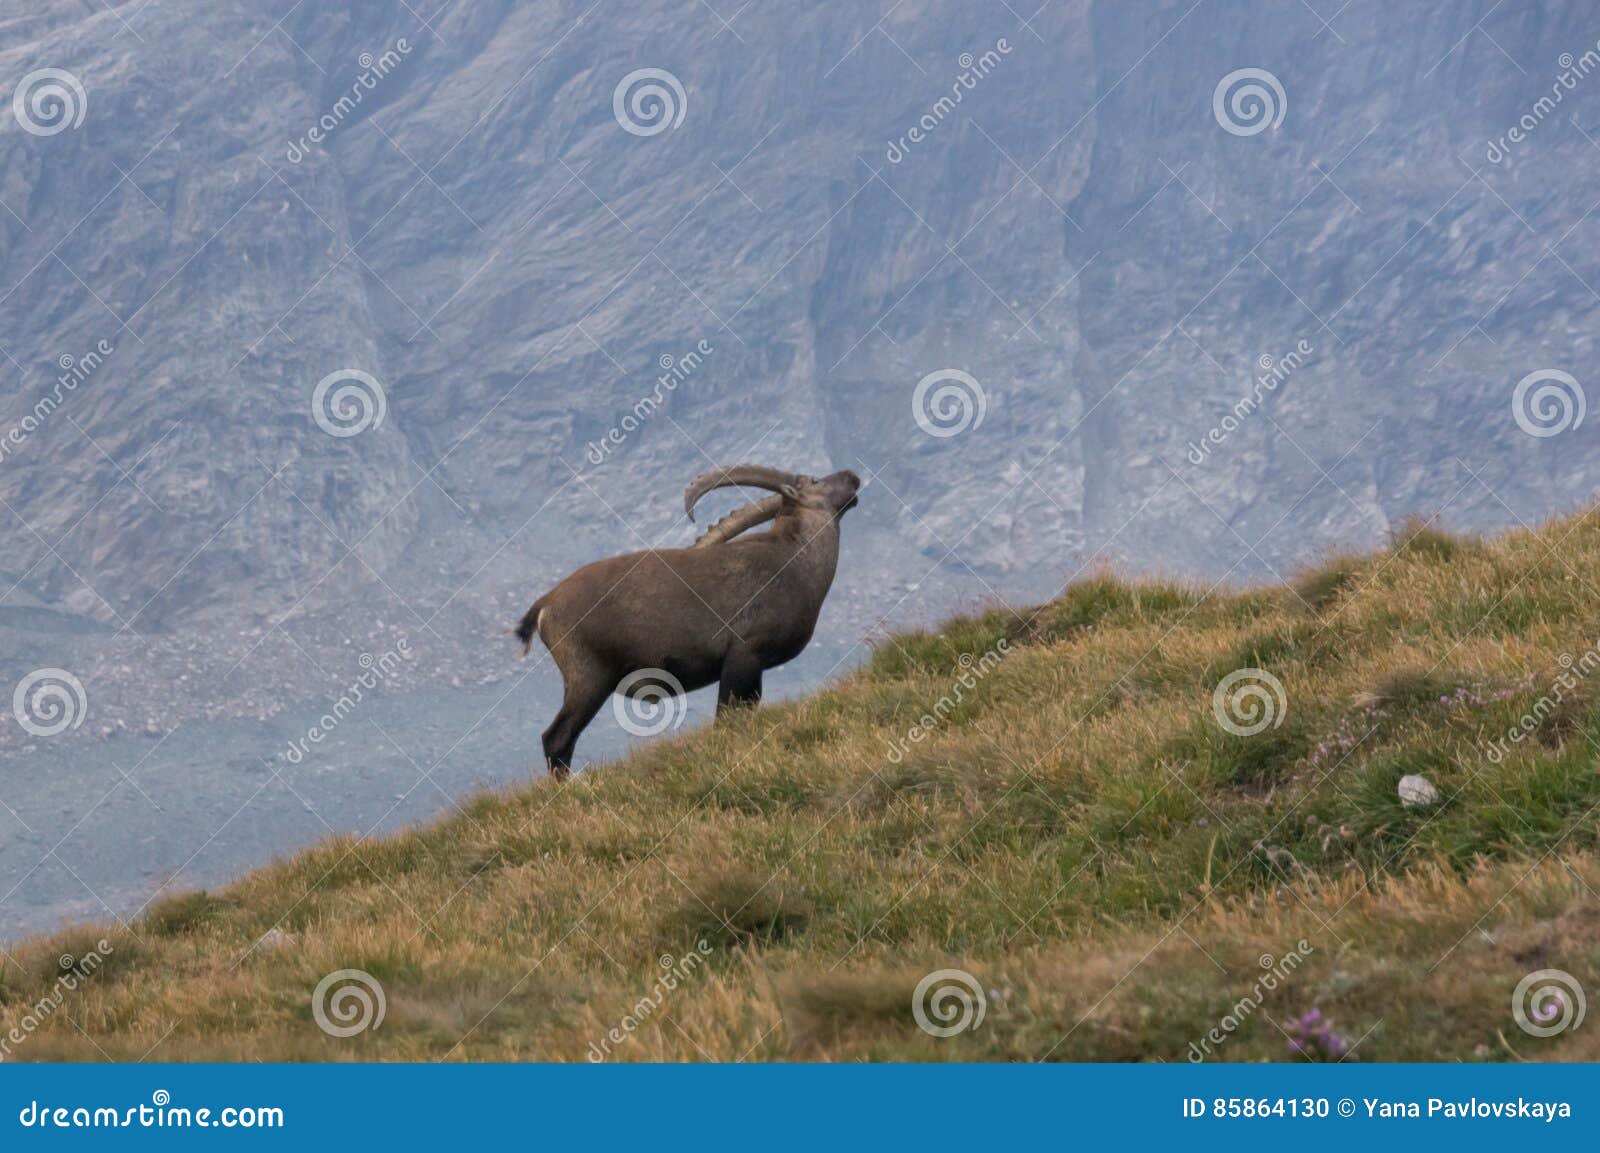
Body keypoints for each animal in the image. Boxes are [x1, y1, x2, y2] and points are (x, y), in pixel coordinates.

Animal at [515, 464, 861, 777]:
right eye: (815, 480)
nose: (852, 475)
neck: (793, 560)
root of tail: (546, 604)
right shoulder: (743, 656)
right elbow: (725, 718)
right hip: (589, 677)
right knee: (557, 738)